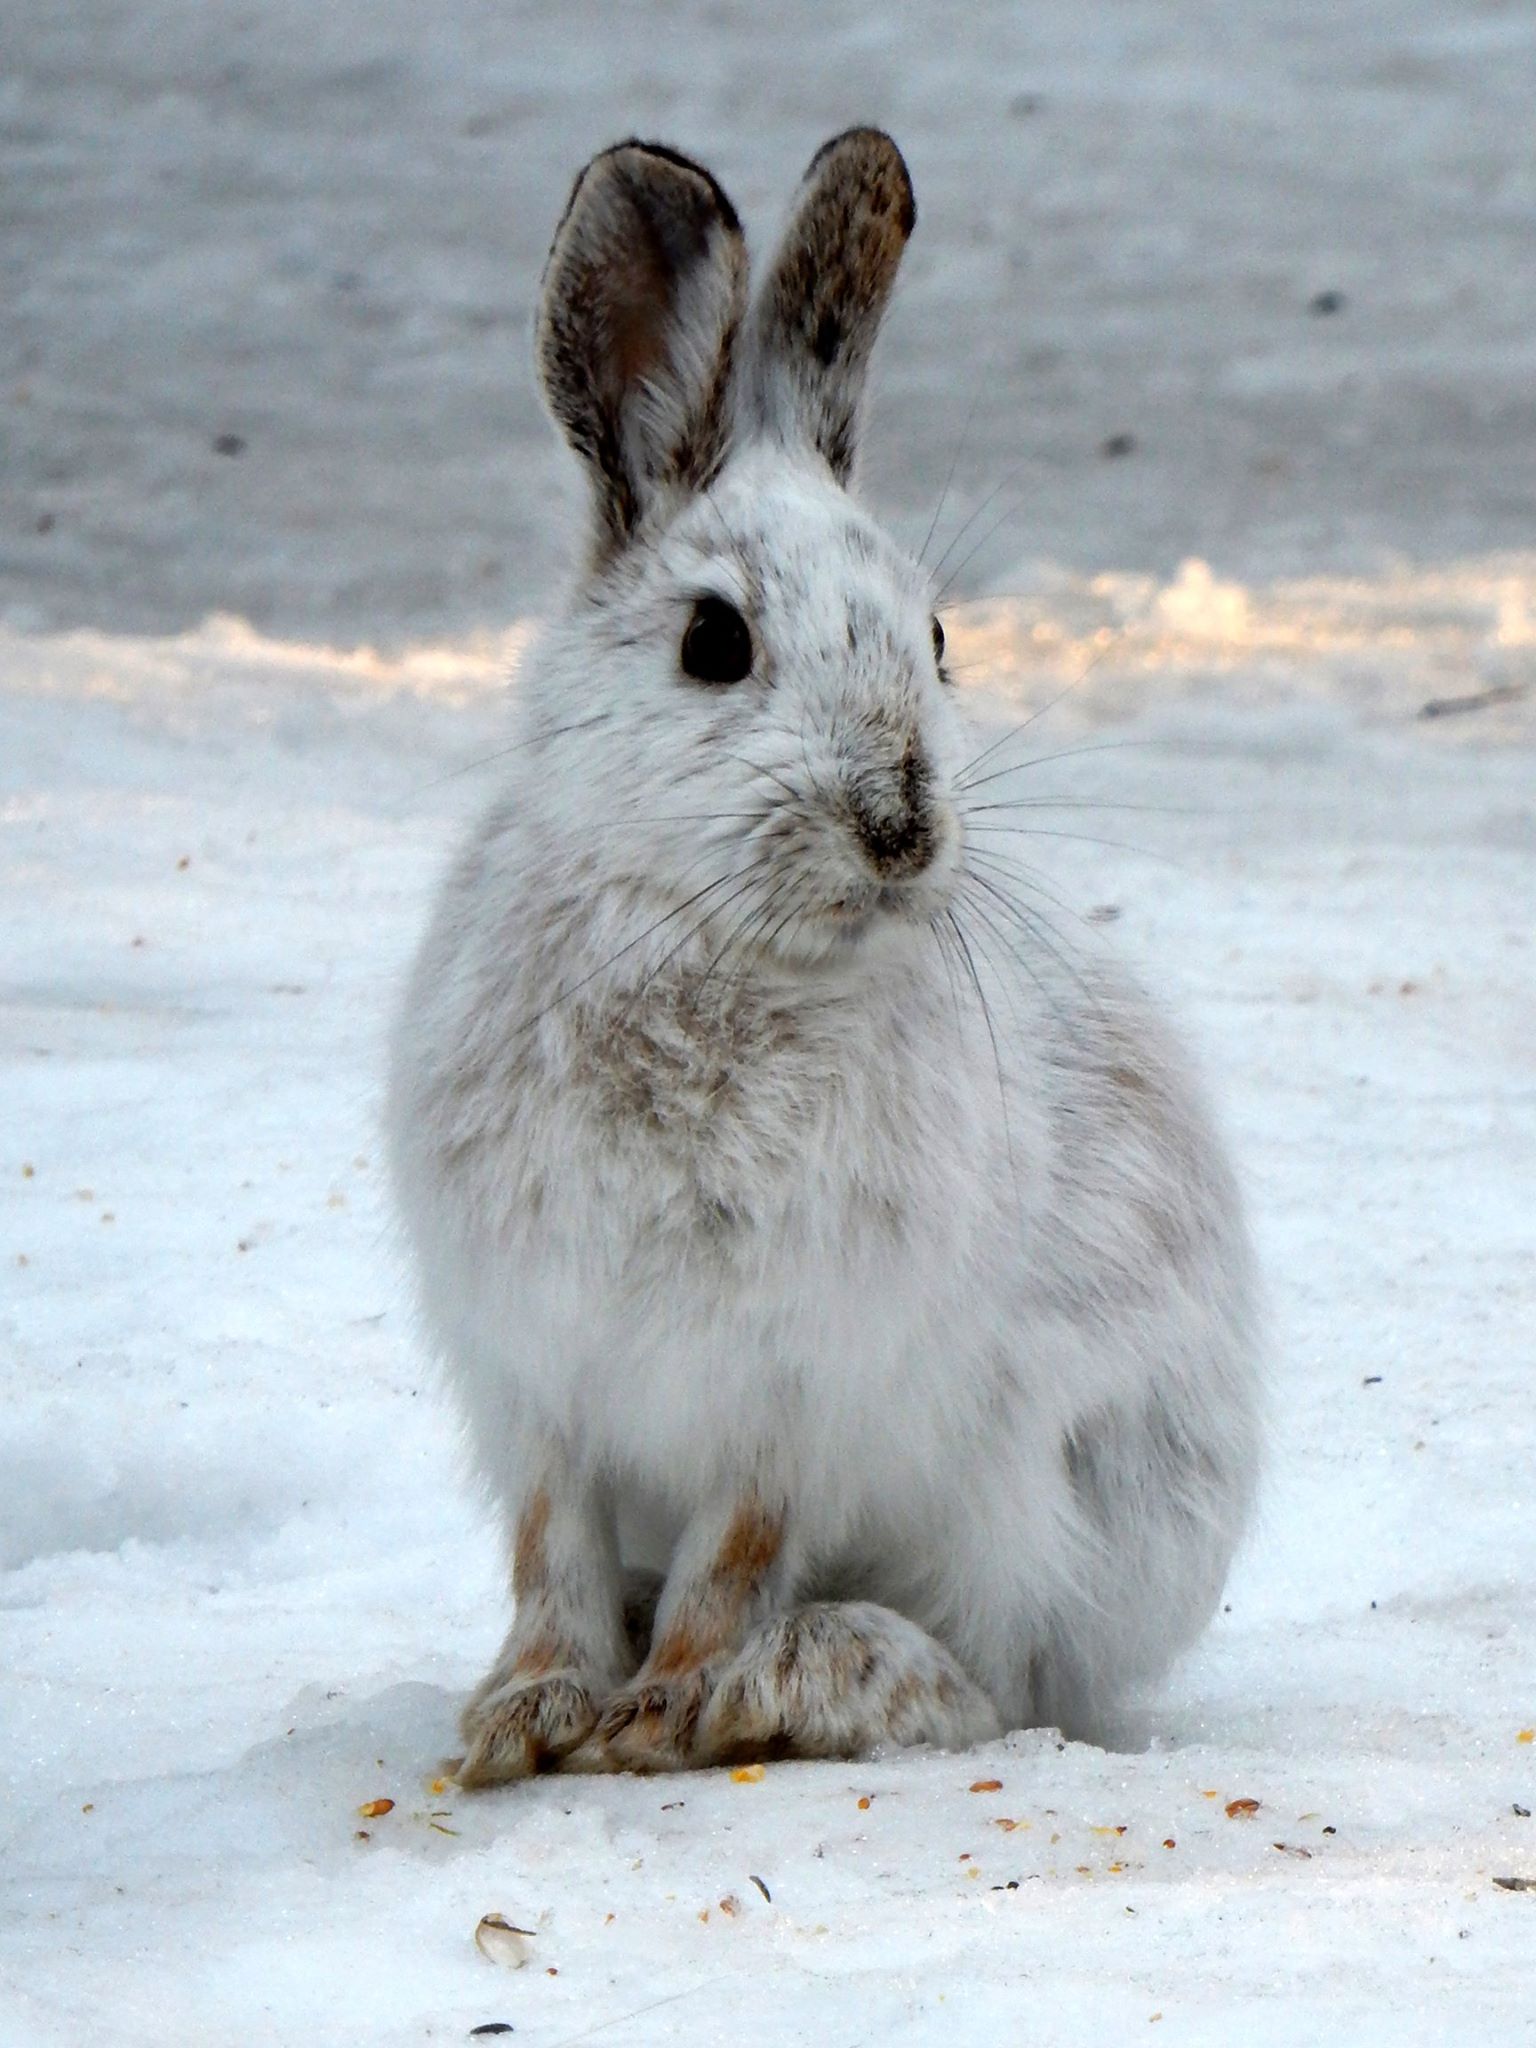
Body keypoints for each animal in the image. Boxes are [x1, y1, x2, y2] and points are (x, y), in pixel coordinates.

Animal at [386, 129, 1263, 1784]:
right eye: (713, 645)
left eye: (938, 638)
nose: (901, 825)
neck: (708, 953)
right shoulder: (541, 1381)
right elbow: (551, 1554)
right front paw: (524, 1715)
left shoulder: (787, 1392)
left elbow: (734, 1557)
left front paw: (661, 1712)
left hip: (1041, 1504)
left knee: (998, 1687)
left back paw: (812, 1681)